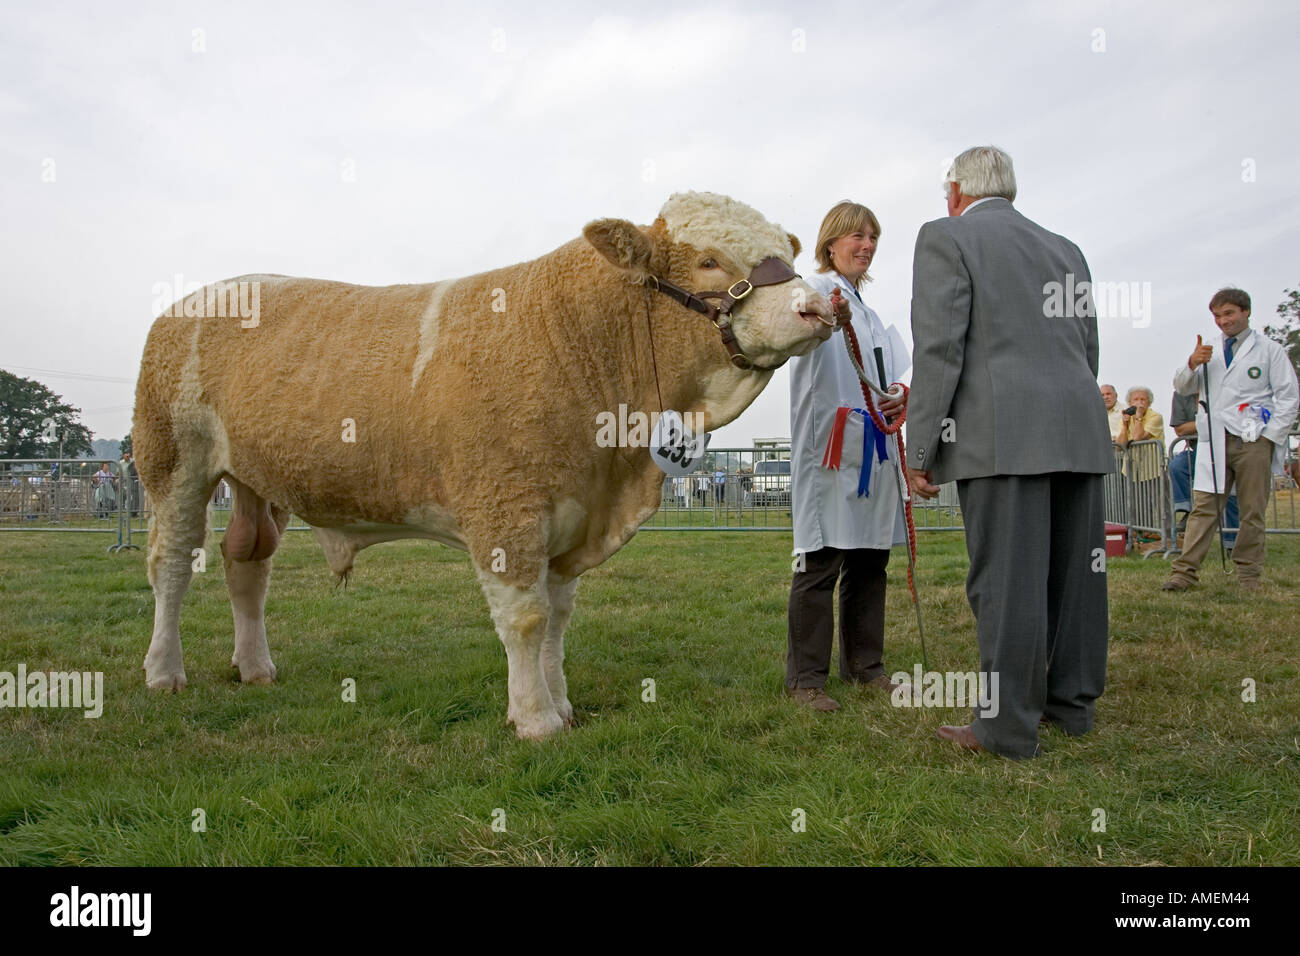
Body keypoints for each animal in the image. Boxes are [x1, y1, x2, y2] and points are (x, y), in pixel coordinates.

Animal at [133, 191, 841, 739]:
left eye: (786, 254)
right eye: (708, 260)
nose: (818, 307)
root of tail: (193, 302)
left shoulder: (568, 518)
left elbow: (557, 619)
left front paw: (562, 705)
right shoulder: (507, 510)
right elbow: (525, 618)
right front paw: (535, 720)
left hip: (254, 479)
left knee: (246, 564)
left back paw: (255, 667)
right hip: (174, 463)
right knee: (171, 565)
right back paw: (164, 671)